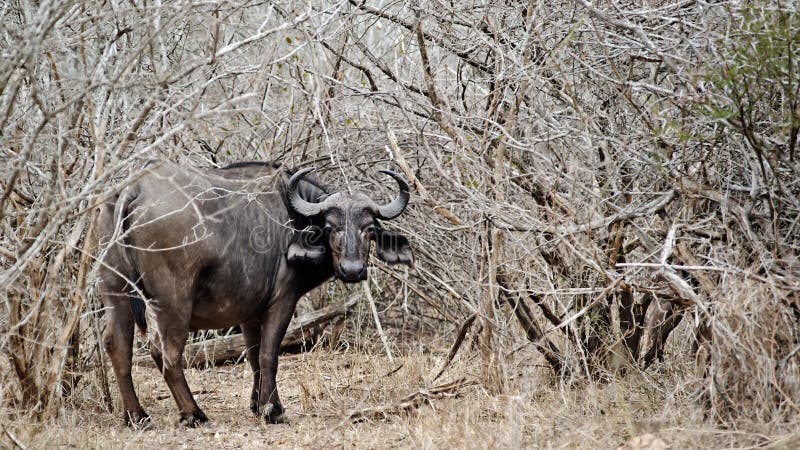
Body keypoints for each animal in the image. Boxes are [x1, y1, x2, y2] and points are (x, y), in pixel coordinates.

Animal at [97, 161, 413, 427]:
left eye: (368, 228)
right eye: (330, 227)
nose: (352, 270)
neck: (293, 218)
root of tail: (135, 188)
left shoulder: (248, 313)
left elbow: (252, 357)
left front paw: (256, 404)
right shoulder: (282, 302)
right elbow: (268, 355)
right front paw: (273, 409)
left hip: (116, 292)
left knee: (118, 346)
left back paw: (136, 415)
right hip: (174, 301)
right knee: (166, 352)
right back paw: (193, 413)